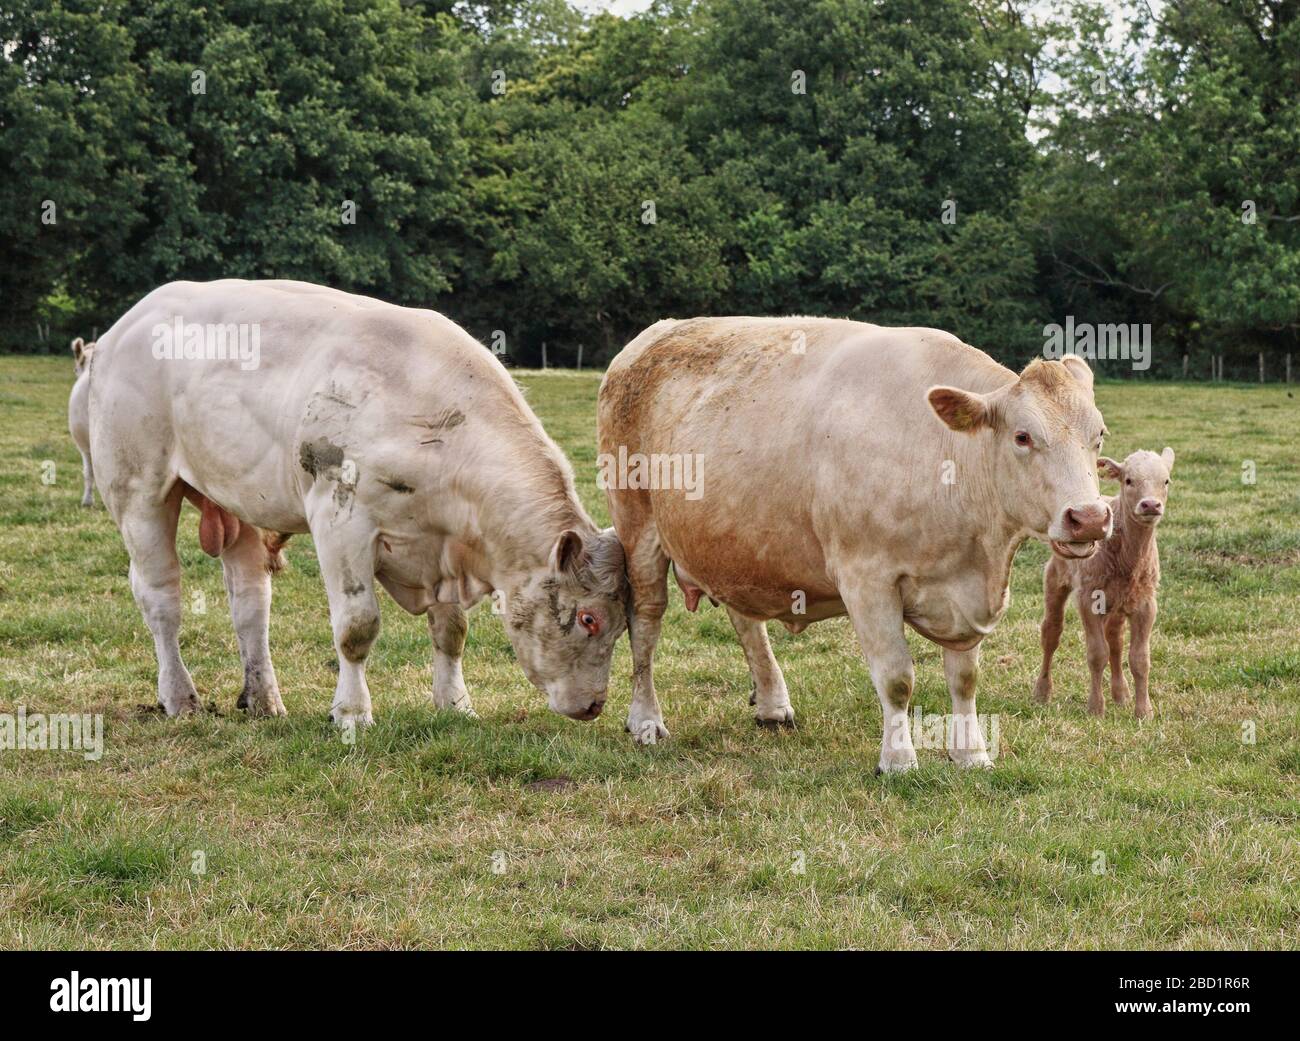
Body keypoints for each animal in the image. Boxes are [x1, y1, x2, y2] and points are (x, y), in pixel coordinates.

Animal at [89, 279, 628, 726]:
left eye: (625, 623)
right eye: (589, 619)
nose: (594, 705)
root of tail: (130, 320)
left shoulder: (443, 549)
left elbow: (451, 630)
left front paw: (455, 704)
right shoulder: (340, 521)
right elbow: (357, 628)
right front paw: (351, 713)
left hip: (236, 504)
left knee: (250, 604)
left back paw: (263, 699)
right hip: (138, 493)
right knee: (161, 598)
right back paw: (179, 698)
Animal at [598, 317, 1112, 772]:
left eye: (1099, 435)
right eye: (1022, 436)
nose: (1089, 518)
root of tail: (652, 337)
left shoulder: (967, 592)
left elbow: (965, 679)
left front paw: (972, 755)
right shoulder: (868, 579)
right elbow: (897, 678)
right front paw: (899, 761)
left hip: (734, 543)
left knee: (745, 620)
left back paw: (771, 704)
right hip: (638, 525)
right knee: (646, 621)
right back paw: (645, 720)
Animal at [1034, 447, 1174, 718]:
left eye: (1165, 481)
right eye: (1128, 480)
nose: (1151, 504)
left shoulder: (1146, 602)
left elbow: (1140, 658)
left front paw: (1144, 711)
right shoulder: (1088, 597)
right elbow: (1097, 653)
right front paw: (1096, 708)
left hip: (1118, 601)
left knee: (1115, 639)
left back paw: (1121, 694)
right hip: (1056, 576)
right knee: (1051, 632)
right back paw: (1042, 692)